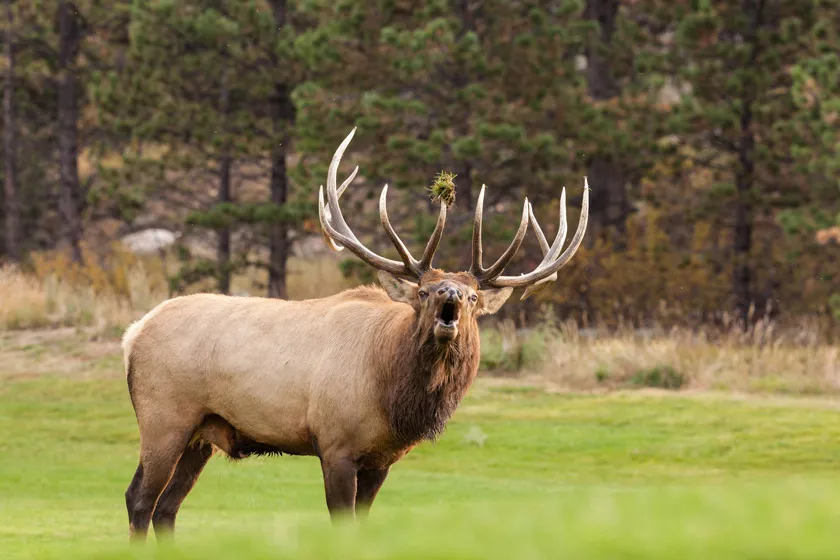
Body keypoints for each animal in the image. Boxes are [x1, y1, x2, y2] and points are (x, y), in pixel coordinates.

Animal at [122, 128, 589, 540]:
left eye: (474, 296)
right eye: (423, 290)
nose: (450, 295)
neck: (393, 395)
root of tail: (133, 334)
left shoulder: (381, 459)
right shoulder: (336, 445)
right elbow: (341, 523)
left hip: (202, 433)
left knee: (167, 508)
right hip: (165, 417)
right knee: (139, 499)